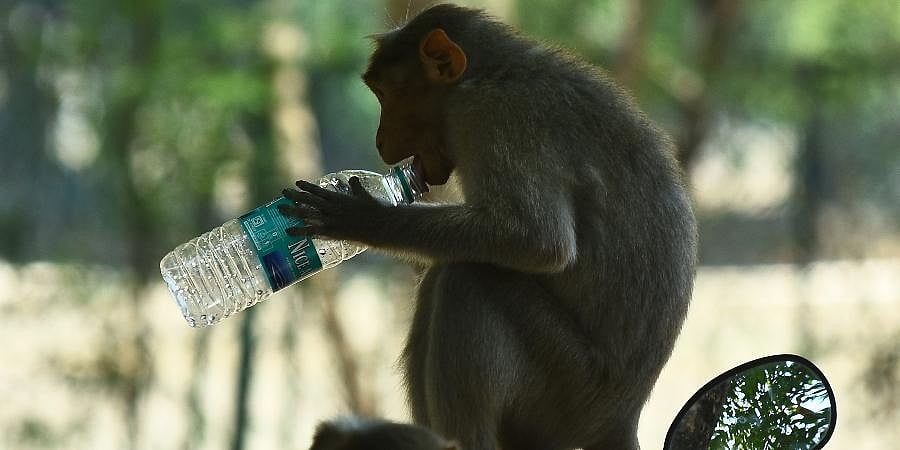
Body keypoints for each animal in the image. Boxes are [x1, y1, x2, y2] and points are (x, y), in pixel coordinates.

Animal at [280, 4, 697, 450]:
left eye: (386, 94)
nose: (378, 141)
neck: (493, 74)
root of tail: (622, 414)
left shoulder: (493, 116)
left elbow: (538, 240)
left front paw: (365, 219)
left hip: (569, 391)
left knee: (468, 279)